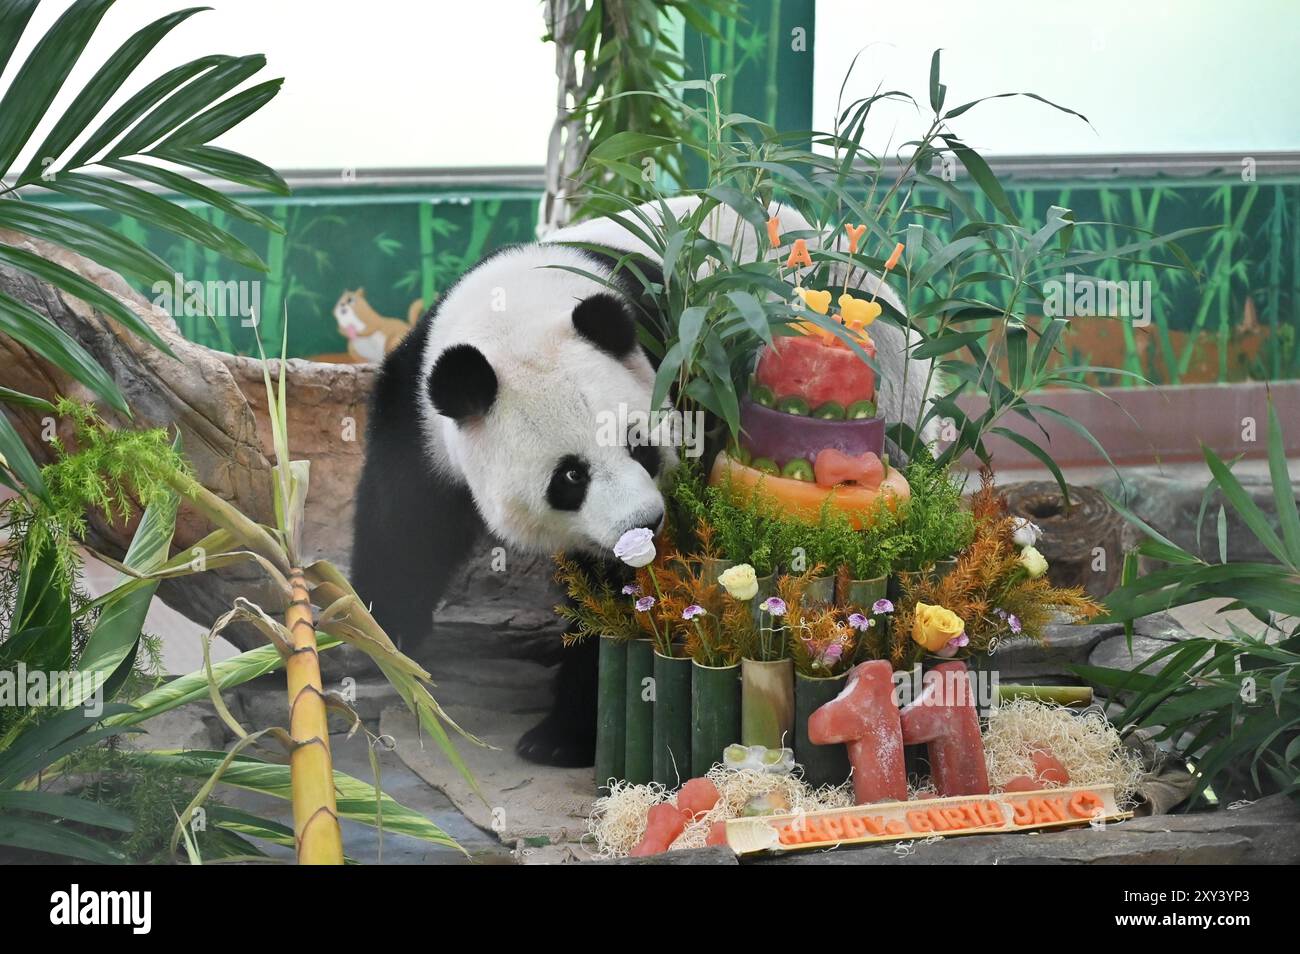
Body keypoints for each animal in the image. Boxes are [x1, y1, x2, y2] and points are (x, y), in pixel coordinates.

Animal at [351, 196, 929, 767]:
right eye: (570, 475)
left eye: (640, 446)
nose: (644, 525)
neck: (517, 311)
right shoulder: (421, 405)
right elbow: (402, 519)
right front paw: (381, 637)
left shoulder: (684, 365)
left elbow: (626, 602)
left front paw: (561, 735)